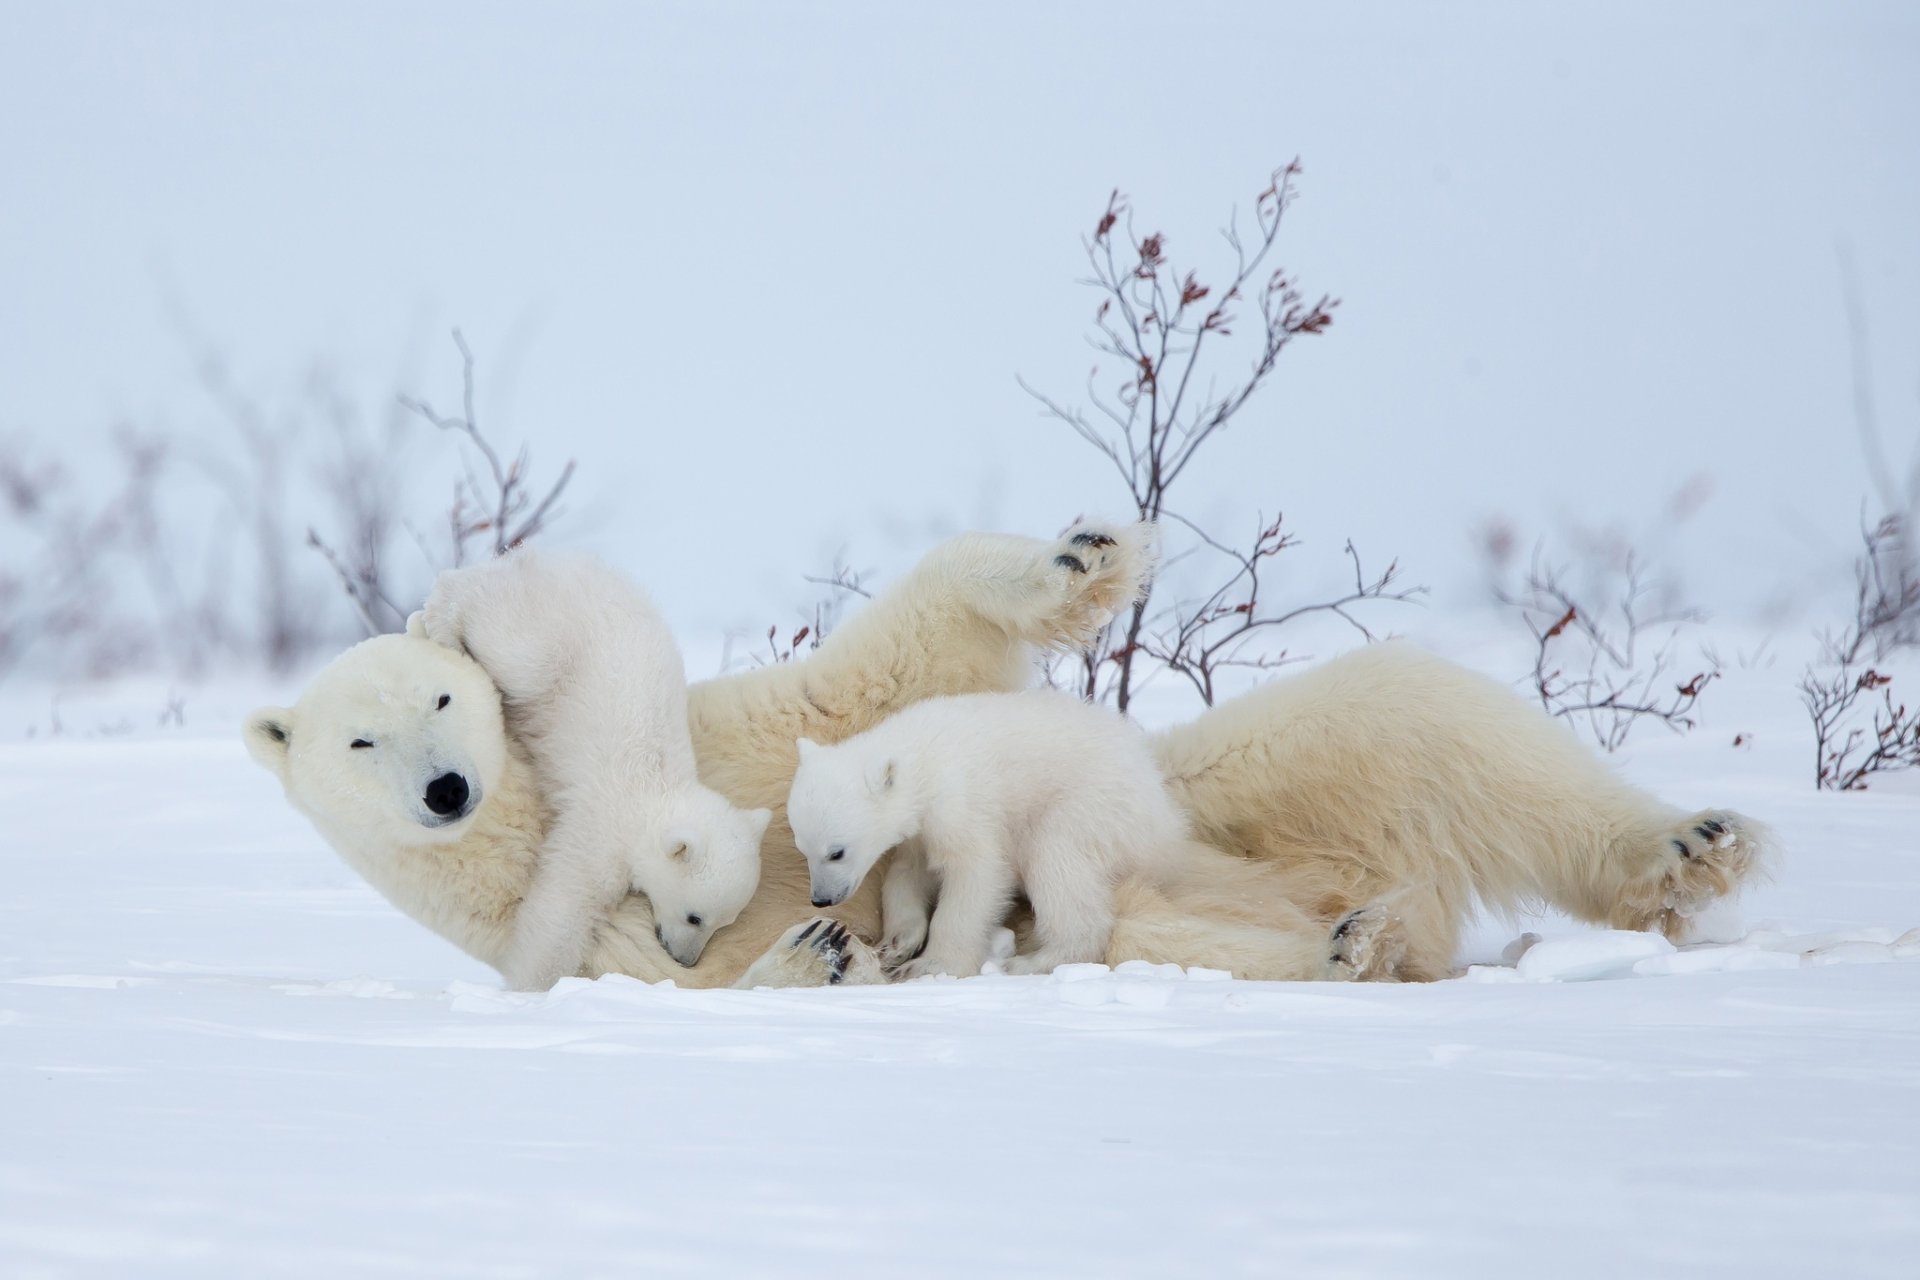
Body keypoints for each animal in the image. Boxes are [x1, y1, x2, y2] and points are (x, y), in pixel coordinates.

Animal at [414, 549, 771, 987]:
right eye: (695, 917)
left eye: (725, 922)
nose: (685, 960)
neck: (657, 791)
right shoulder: (605, 826)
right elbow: (565, 902)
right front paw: (534, 984)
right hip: (551, 641)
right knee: (509, 645)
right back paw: (441, 618)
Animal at [788, 689, 1210, 980]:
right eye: (802, 848)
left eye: (836, 852)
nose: (821, 899)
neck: (923, 757)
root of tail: (1167, 821)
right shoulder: (920, 831)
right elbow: (907, 873)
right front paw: (896, 946)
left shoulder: (963, 804)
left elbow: (978, 874)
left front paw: (931, 965)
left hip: (1093, 808)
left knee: (1056, 862)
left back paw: (1031, 962)